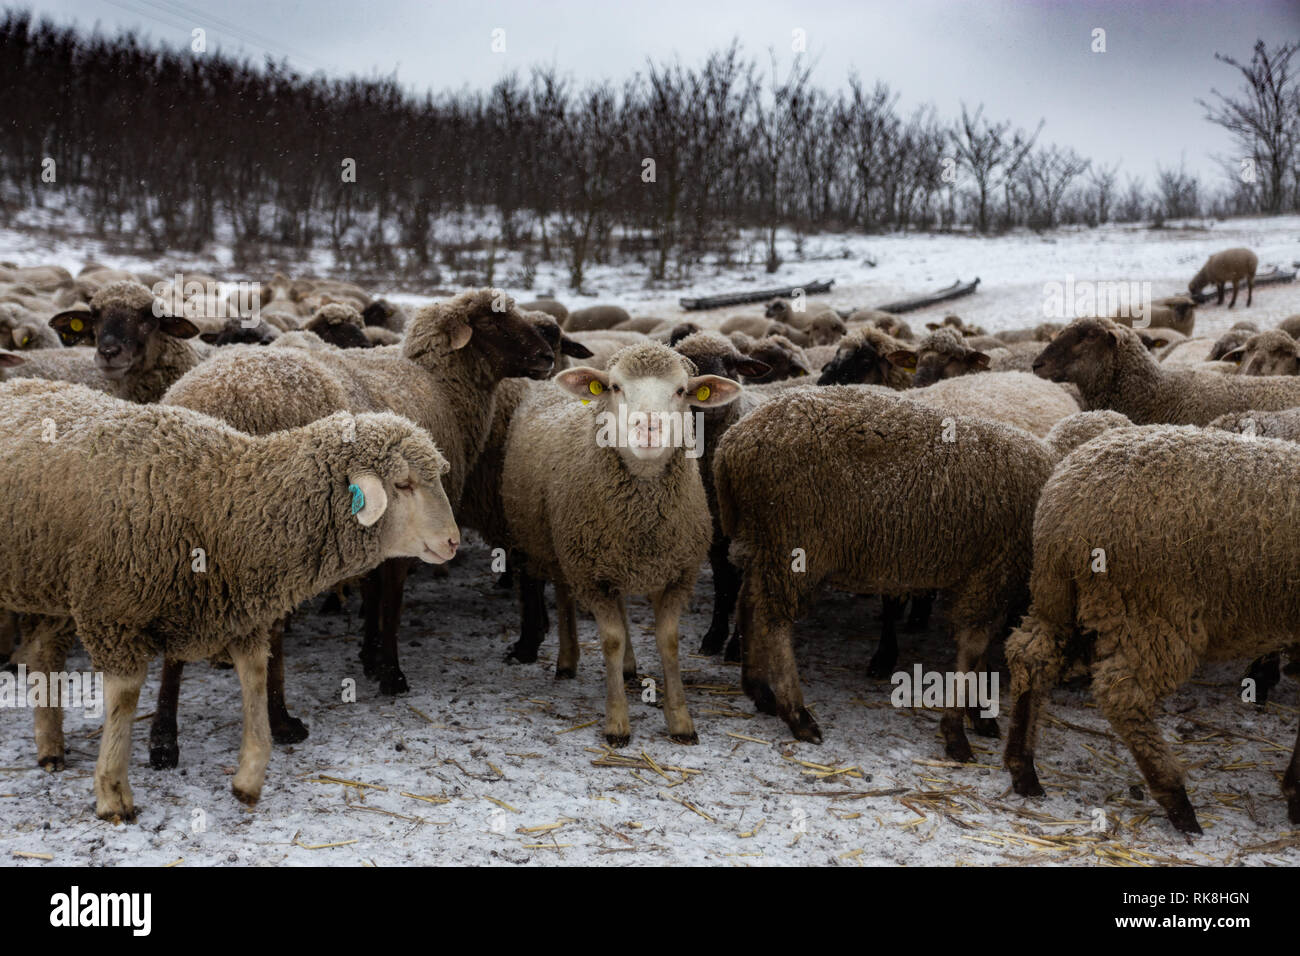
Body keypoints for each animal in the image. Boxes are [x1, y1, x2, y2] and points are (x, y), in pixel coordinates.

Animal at [0, 379, 459, 820]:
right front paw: (113, 794)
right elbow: (125, 699)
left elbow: (255, 676)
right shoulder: (113, 613)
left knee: (45, 652)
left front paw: (249, 778)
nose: (453, 542)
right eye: (403, 484)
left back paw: (50, 747)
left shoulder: (237, 612)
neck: (219, 502)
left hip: (52, 580)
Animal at [501, 342, 743, 745]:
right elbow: (611, 640)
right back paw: (568, 660)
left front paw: (680, 720)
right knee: (565, 594)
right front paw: (617, 723)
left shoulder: (678, 574)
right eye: (615, 387)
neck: (639, 523)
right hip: (560, 548)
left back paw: (629, 667)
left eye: (681, 390)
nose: (648, 427)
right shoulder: (590, 574)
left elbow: (668, 641)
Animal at [716, 385, 1055, 758]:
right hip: (792, 538)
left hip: (763, 536)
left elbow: (978, 647)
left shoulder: (979, 572)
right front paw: (956, 732)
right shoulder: (995, 567)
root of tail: (733, 441)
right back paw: (797, 714)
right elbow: (973, 646)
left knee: (748, 600)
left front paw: (979, 714)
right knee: (774, 619)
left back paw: (758, 690)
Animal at [1002, 426, 1300, 833]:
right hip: (1153, 612)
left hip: (1054, 593)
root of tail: (1066, 504)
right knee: (1124, 695)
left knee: (1031, 658)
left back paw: (1023, 768)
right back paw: (1177, 799)